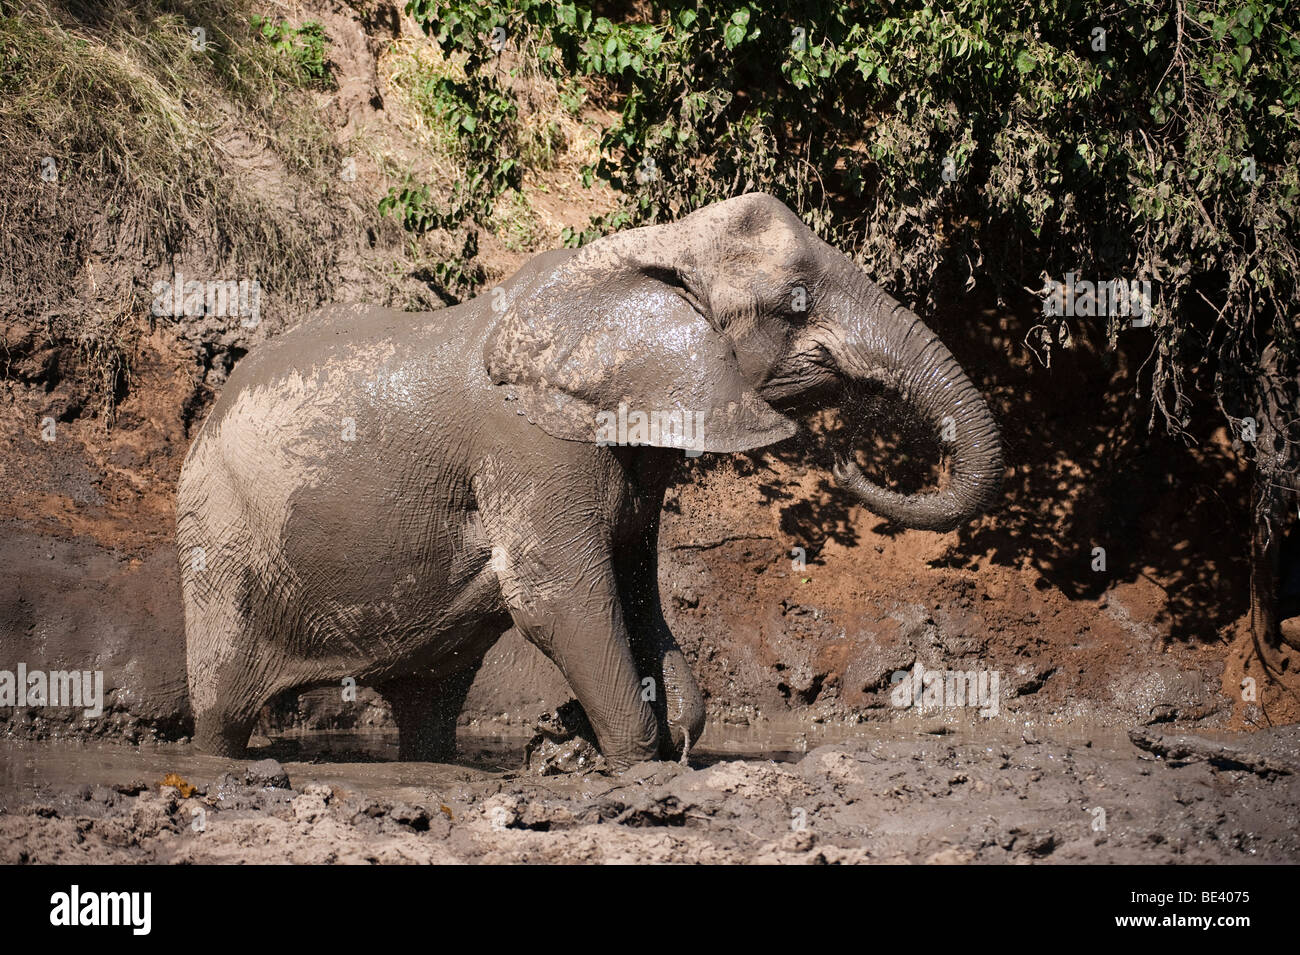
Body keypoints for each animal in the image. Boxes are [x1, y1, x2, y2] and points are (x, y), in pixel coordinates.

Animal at [176, 193, 1003, 766]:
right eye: (794, 299)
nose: (845, 451)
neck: (656, 241)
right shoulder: (531, 441)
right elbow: (562, 595)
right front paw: (632, 761)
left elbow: (635, 583)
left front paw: (673, 737)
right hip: (218, 533)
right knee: (223, 708)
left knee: (429, 704)